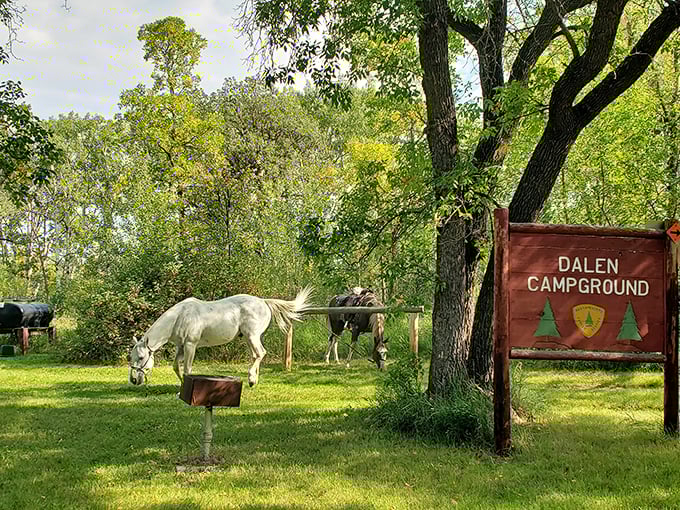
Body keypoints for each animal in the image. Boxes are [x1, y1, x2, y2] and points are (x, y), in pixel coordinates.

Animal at [128, 287, 313, 388]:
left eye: (142, 357)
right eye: (132, 357)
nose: (134, 380)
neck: (180, 316)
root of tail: (264, 302)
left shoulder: (190, 345)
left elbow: (187, 369)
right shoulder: (181, 347)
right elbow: (176, 367)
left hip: (252, 335)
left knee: (260, 353)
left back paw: (251, 379)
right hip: (249, 338)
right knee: (256, 355)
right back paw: (254, 381)